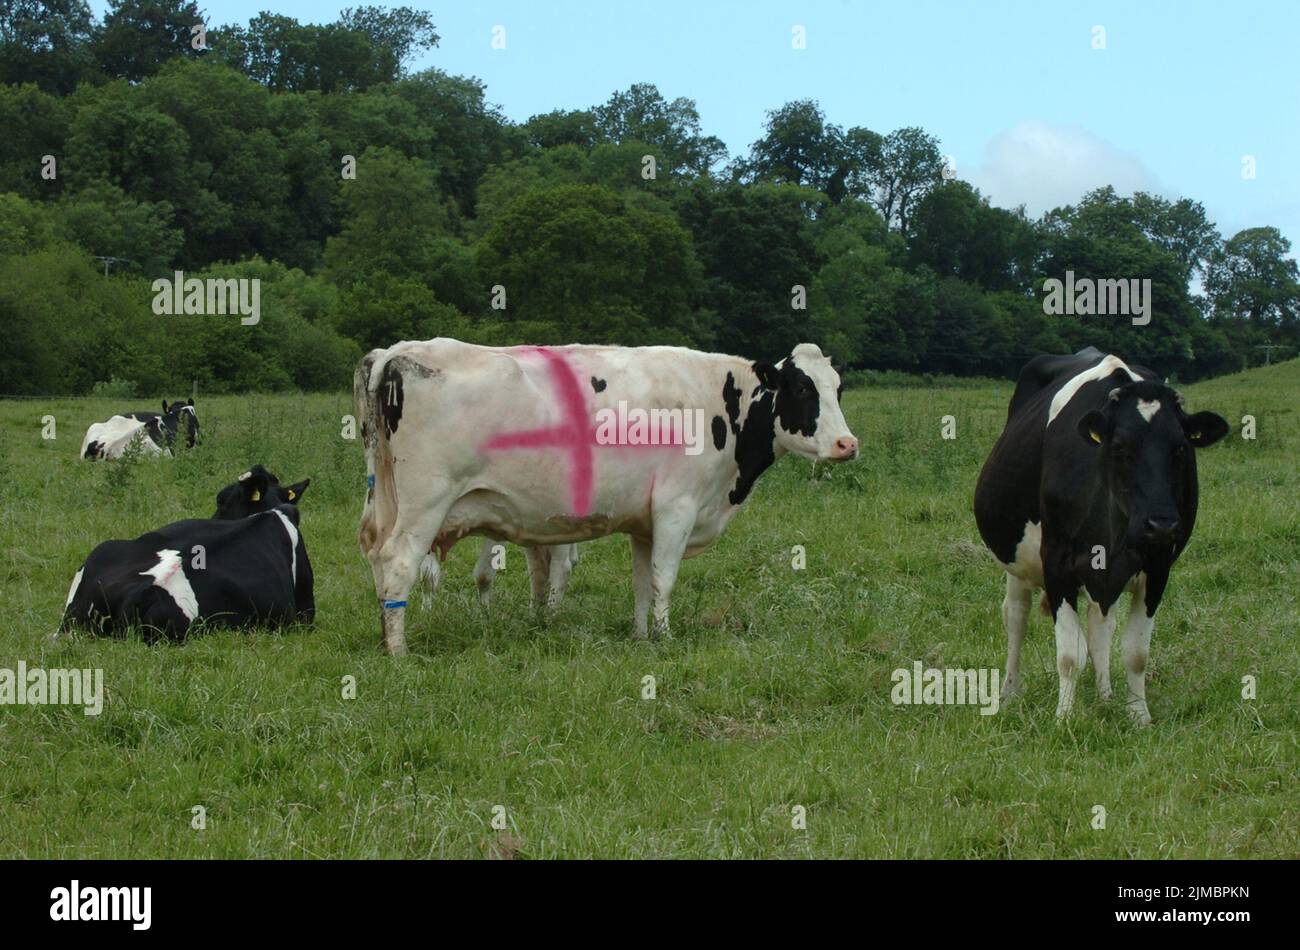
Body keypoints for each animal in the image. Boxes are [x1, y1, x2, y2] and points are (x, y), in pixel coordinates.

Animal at [355, 339, 858, 655]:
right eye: (800, 388)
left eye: (836, 388)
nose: (847, 444)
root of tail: (395, 353)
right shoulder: (677, 509)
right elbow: (664, 580)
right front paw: (665, 640)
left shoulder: (646, 522)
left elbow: (642, 581)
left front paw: (640, 636)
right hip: (425, 505)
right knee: (398, 563)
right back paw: (398, 651)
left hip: (385, 501)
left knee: (377, 559)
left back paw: (383, 637)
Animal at [973, 347, 1229, 724]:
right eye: (1120, 447)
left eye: (1181, 449)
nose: (1162, 525)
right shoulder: (1057, 564)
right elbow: (1069, 654)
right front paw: (1064, 718)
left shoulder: (1157, 566)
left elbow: (1135, 651)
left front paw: (1138, 715)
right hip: (1017, 560)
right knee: (1016, 616)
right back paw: (1009, 692)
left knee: (1100, 626)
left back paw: (1105, 695)